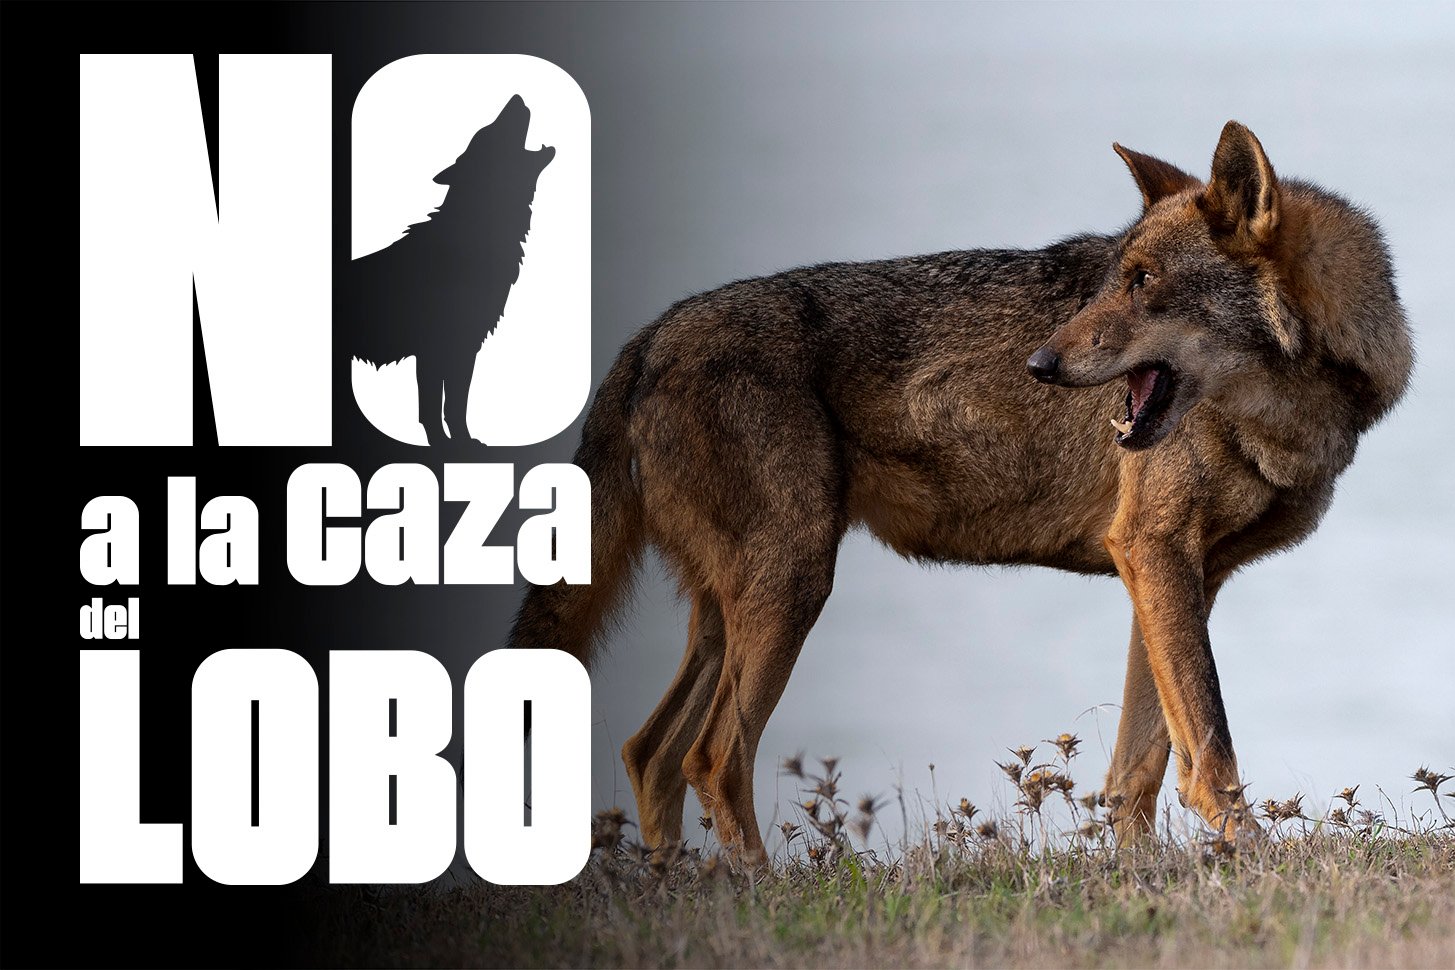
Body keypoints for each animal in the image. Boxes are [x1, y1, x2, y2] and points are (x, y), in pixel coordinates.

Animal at [343, 94, 555, 448]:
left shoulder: (465, 347)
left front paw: (464, 442)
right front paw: (441, 444)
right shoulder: (432, 349)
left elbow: (456, 403)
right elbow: (432, 403)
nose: (516, 97)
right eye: (487, 134)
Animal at [510, 121, 1412, 862]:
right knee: (711, 758)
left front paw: (1145, 876)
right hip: (790, 591)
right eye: (1114, 279)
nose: (1039, 365)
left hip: (733, 612)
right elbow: (1207, 747)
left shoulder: (1182, 573)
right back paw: (756, 895)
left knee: (650, 752)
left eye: (1142, 282)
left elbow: (1139, 768)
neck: (1287, 416)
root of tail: (648, 336)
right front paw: (1253, 856)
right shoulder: (1153, 552)